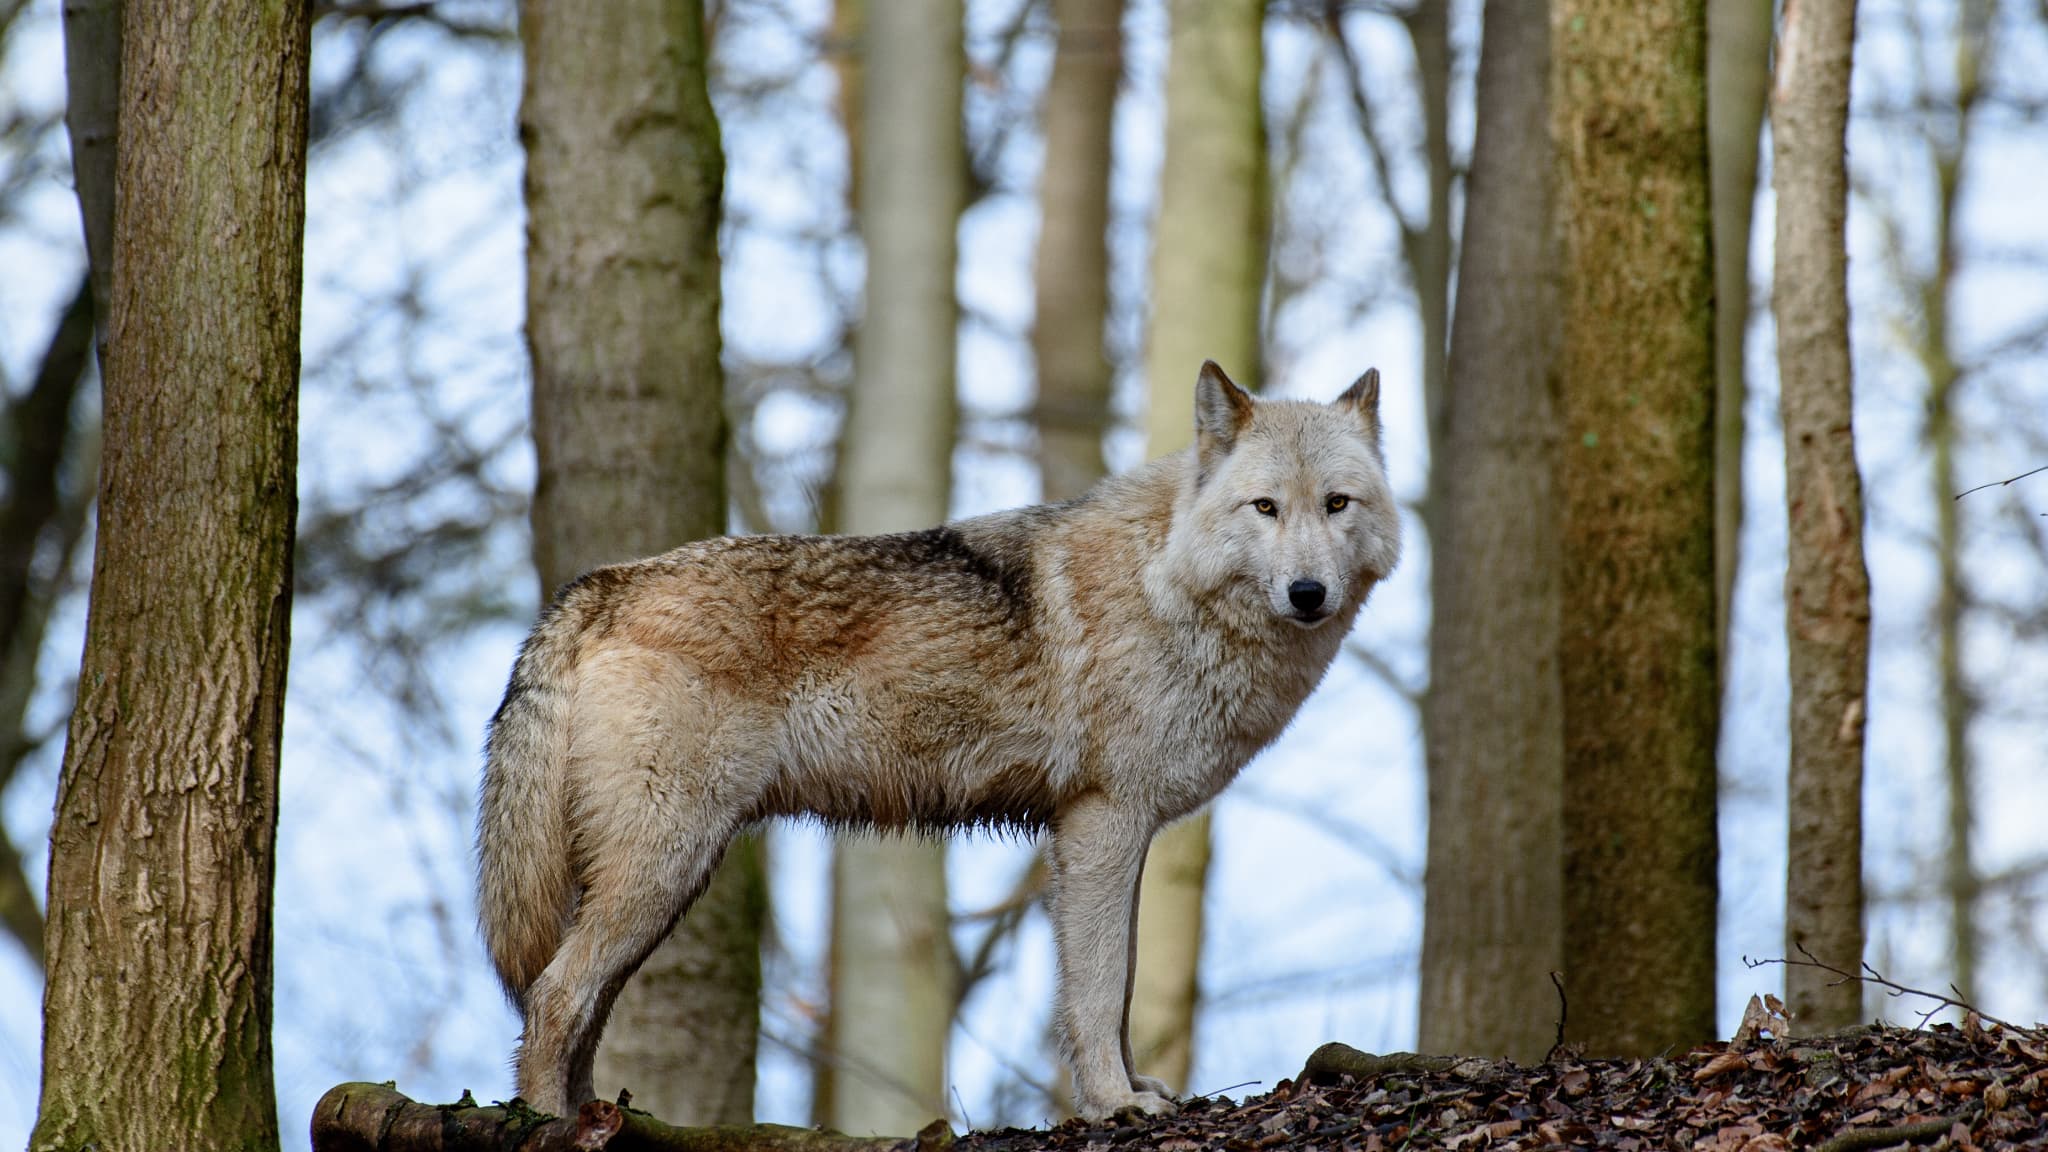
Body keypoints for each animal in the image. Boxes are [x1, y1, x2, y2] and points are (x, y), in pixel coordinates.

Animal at [477, 360, 1401, 1123]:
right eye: (1265, 507)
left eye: (1337, 504)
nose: (1308, 593)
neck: (1166, 580)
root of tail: (603, 584)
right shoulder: (1102, 824)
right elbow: (1100, 991)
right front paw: (1114, 1105)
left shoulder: (1114, 837)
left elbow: (1123, 981)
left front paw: (1133, 1088)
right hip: (663, 866)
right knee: (553, 997)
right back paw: (547, 1124)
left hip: (665, 882)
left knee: (579, 1009)